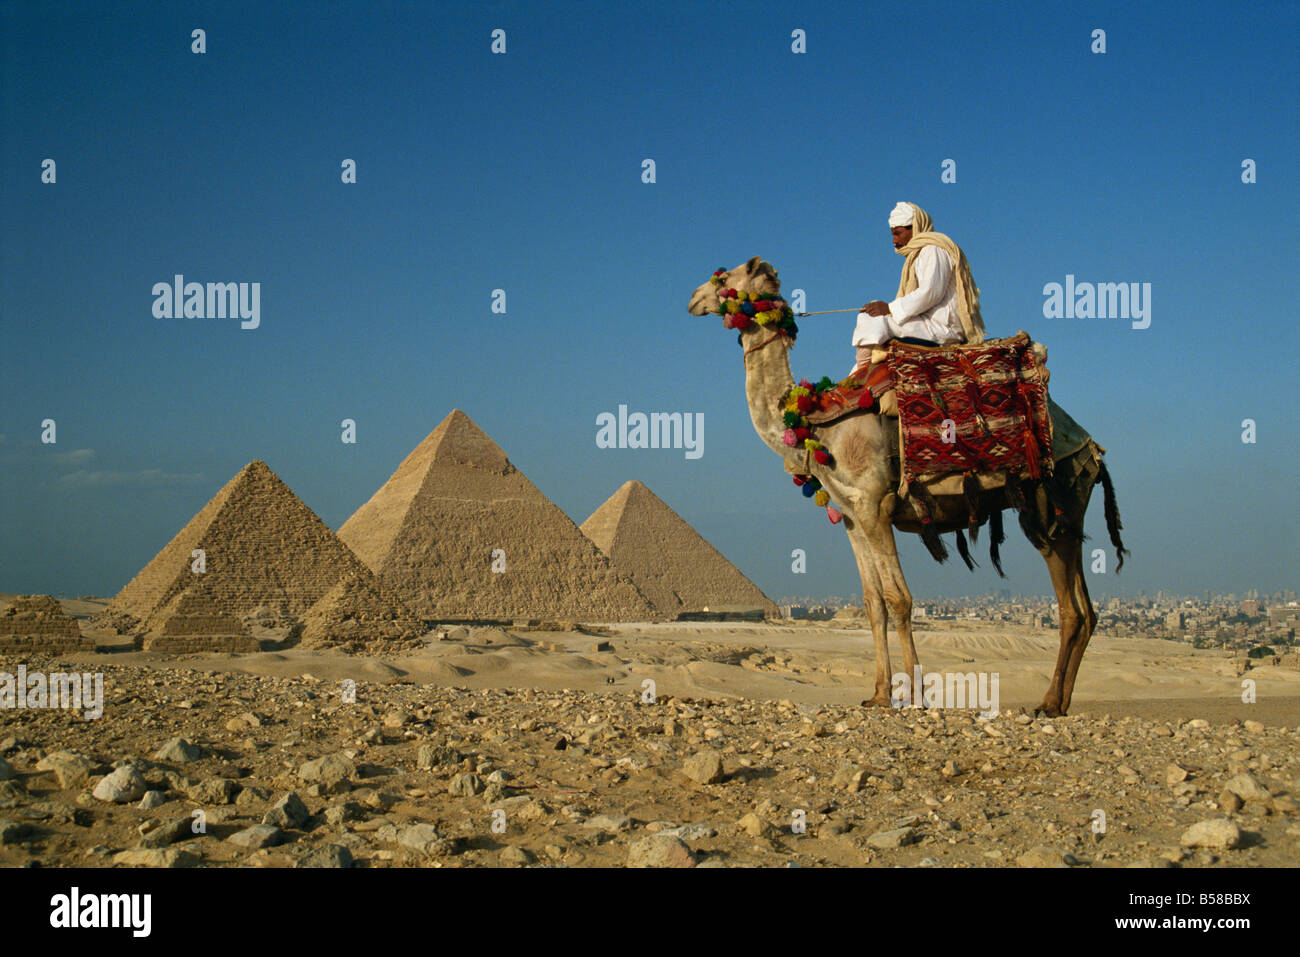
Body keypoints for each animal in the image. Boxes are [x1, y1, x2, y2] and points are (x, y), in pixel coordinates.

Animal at [688, 257, 1127, 716]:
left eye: (725, 277)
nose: (693, 299)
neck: (814, 422)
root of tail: (1090, 447)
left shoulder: (875, 505)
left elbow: (899, 598)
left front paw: (914, 692)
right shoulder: (852, 516)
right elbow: (873, 603)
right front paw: (879, 693)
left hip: (1052, 503)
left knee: (1070, 609)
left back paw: (1048, 702)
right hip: (1066, 510)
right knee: (1086, 610)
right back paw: (1058, 700)